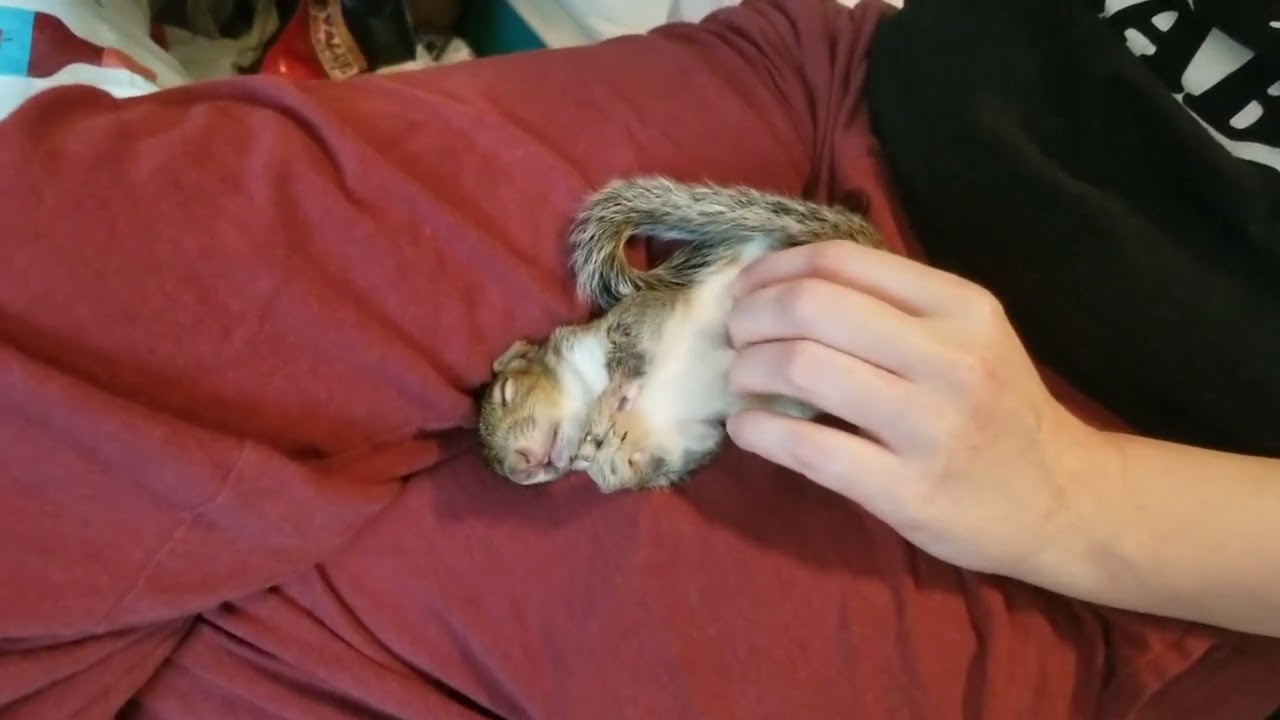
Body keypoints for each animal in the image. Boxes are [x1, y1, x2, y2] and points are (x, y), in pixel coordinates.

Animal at [476, 176, 885, 492]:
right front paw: (611, 463)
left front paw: (605, 410)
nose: (520, 469)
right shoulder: (688, 430)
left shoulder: (641, 315)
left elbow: (628, 356)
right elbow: (685, 450)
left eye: (505, 392)